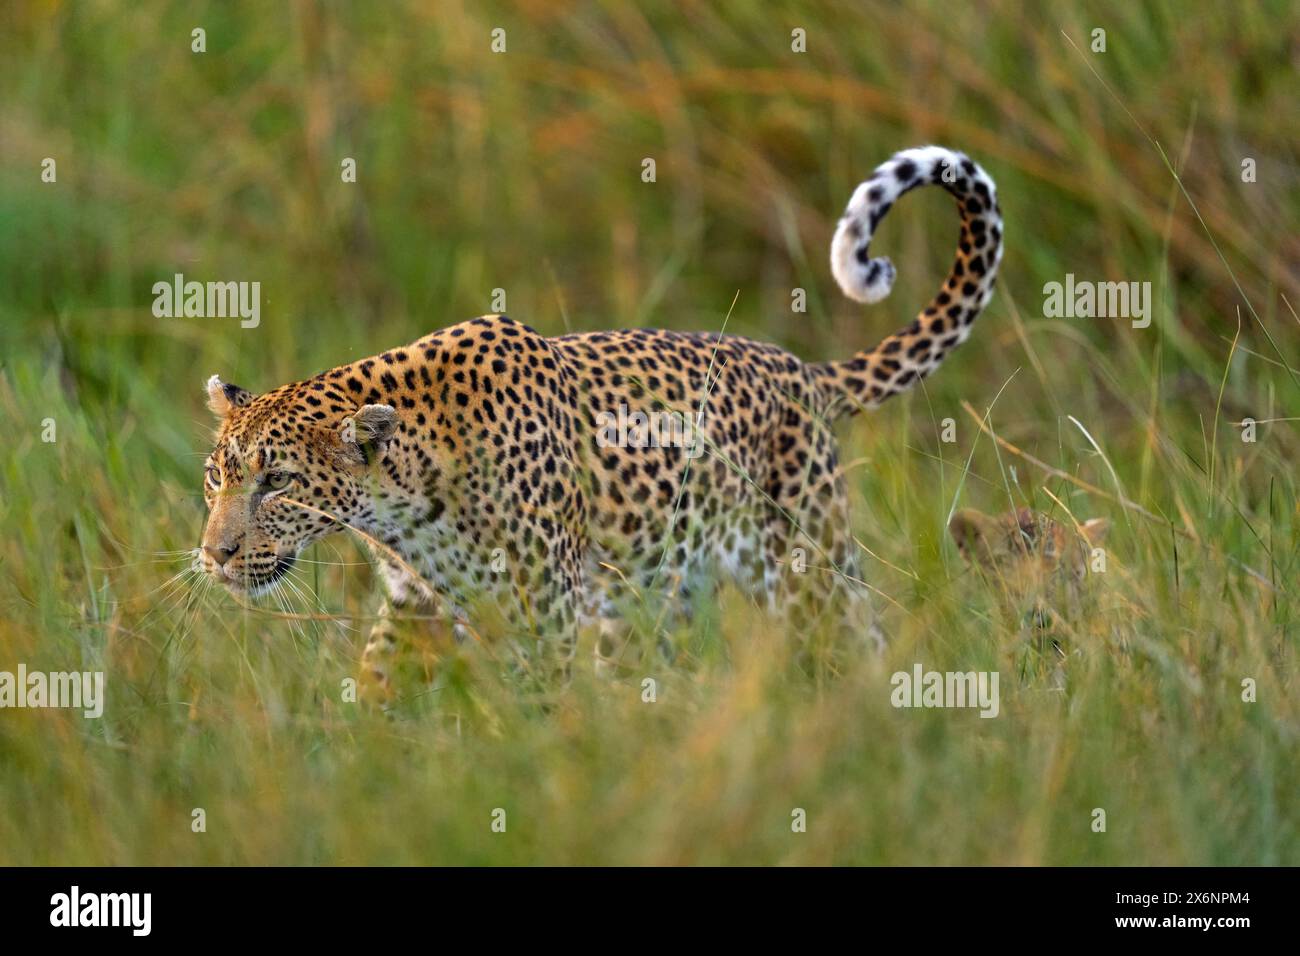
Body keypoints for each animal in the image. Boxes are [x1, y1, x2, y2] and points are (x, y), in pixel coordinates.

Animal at [196, 144, 1004, 698]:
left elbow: (535, 709)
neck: (399, 502)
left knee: (856, 641)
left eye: (278, 483)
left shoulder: (543, 611)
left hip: (807, 565)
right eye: (215, 479)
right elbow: (376, 691)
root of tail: (798, 368)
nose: (215, 555)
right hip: (656, 598)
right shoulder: (412, 603)